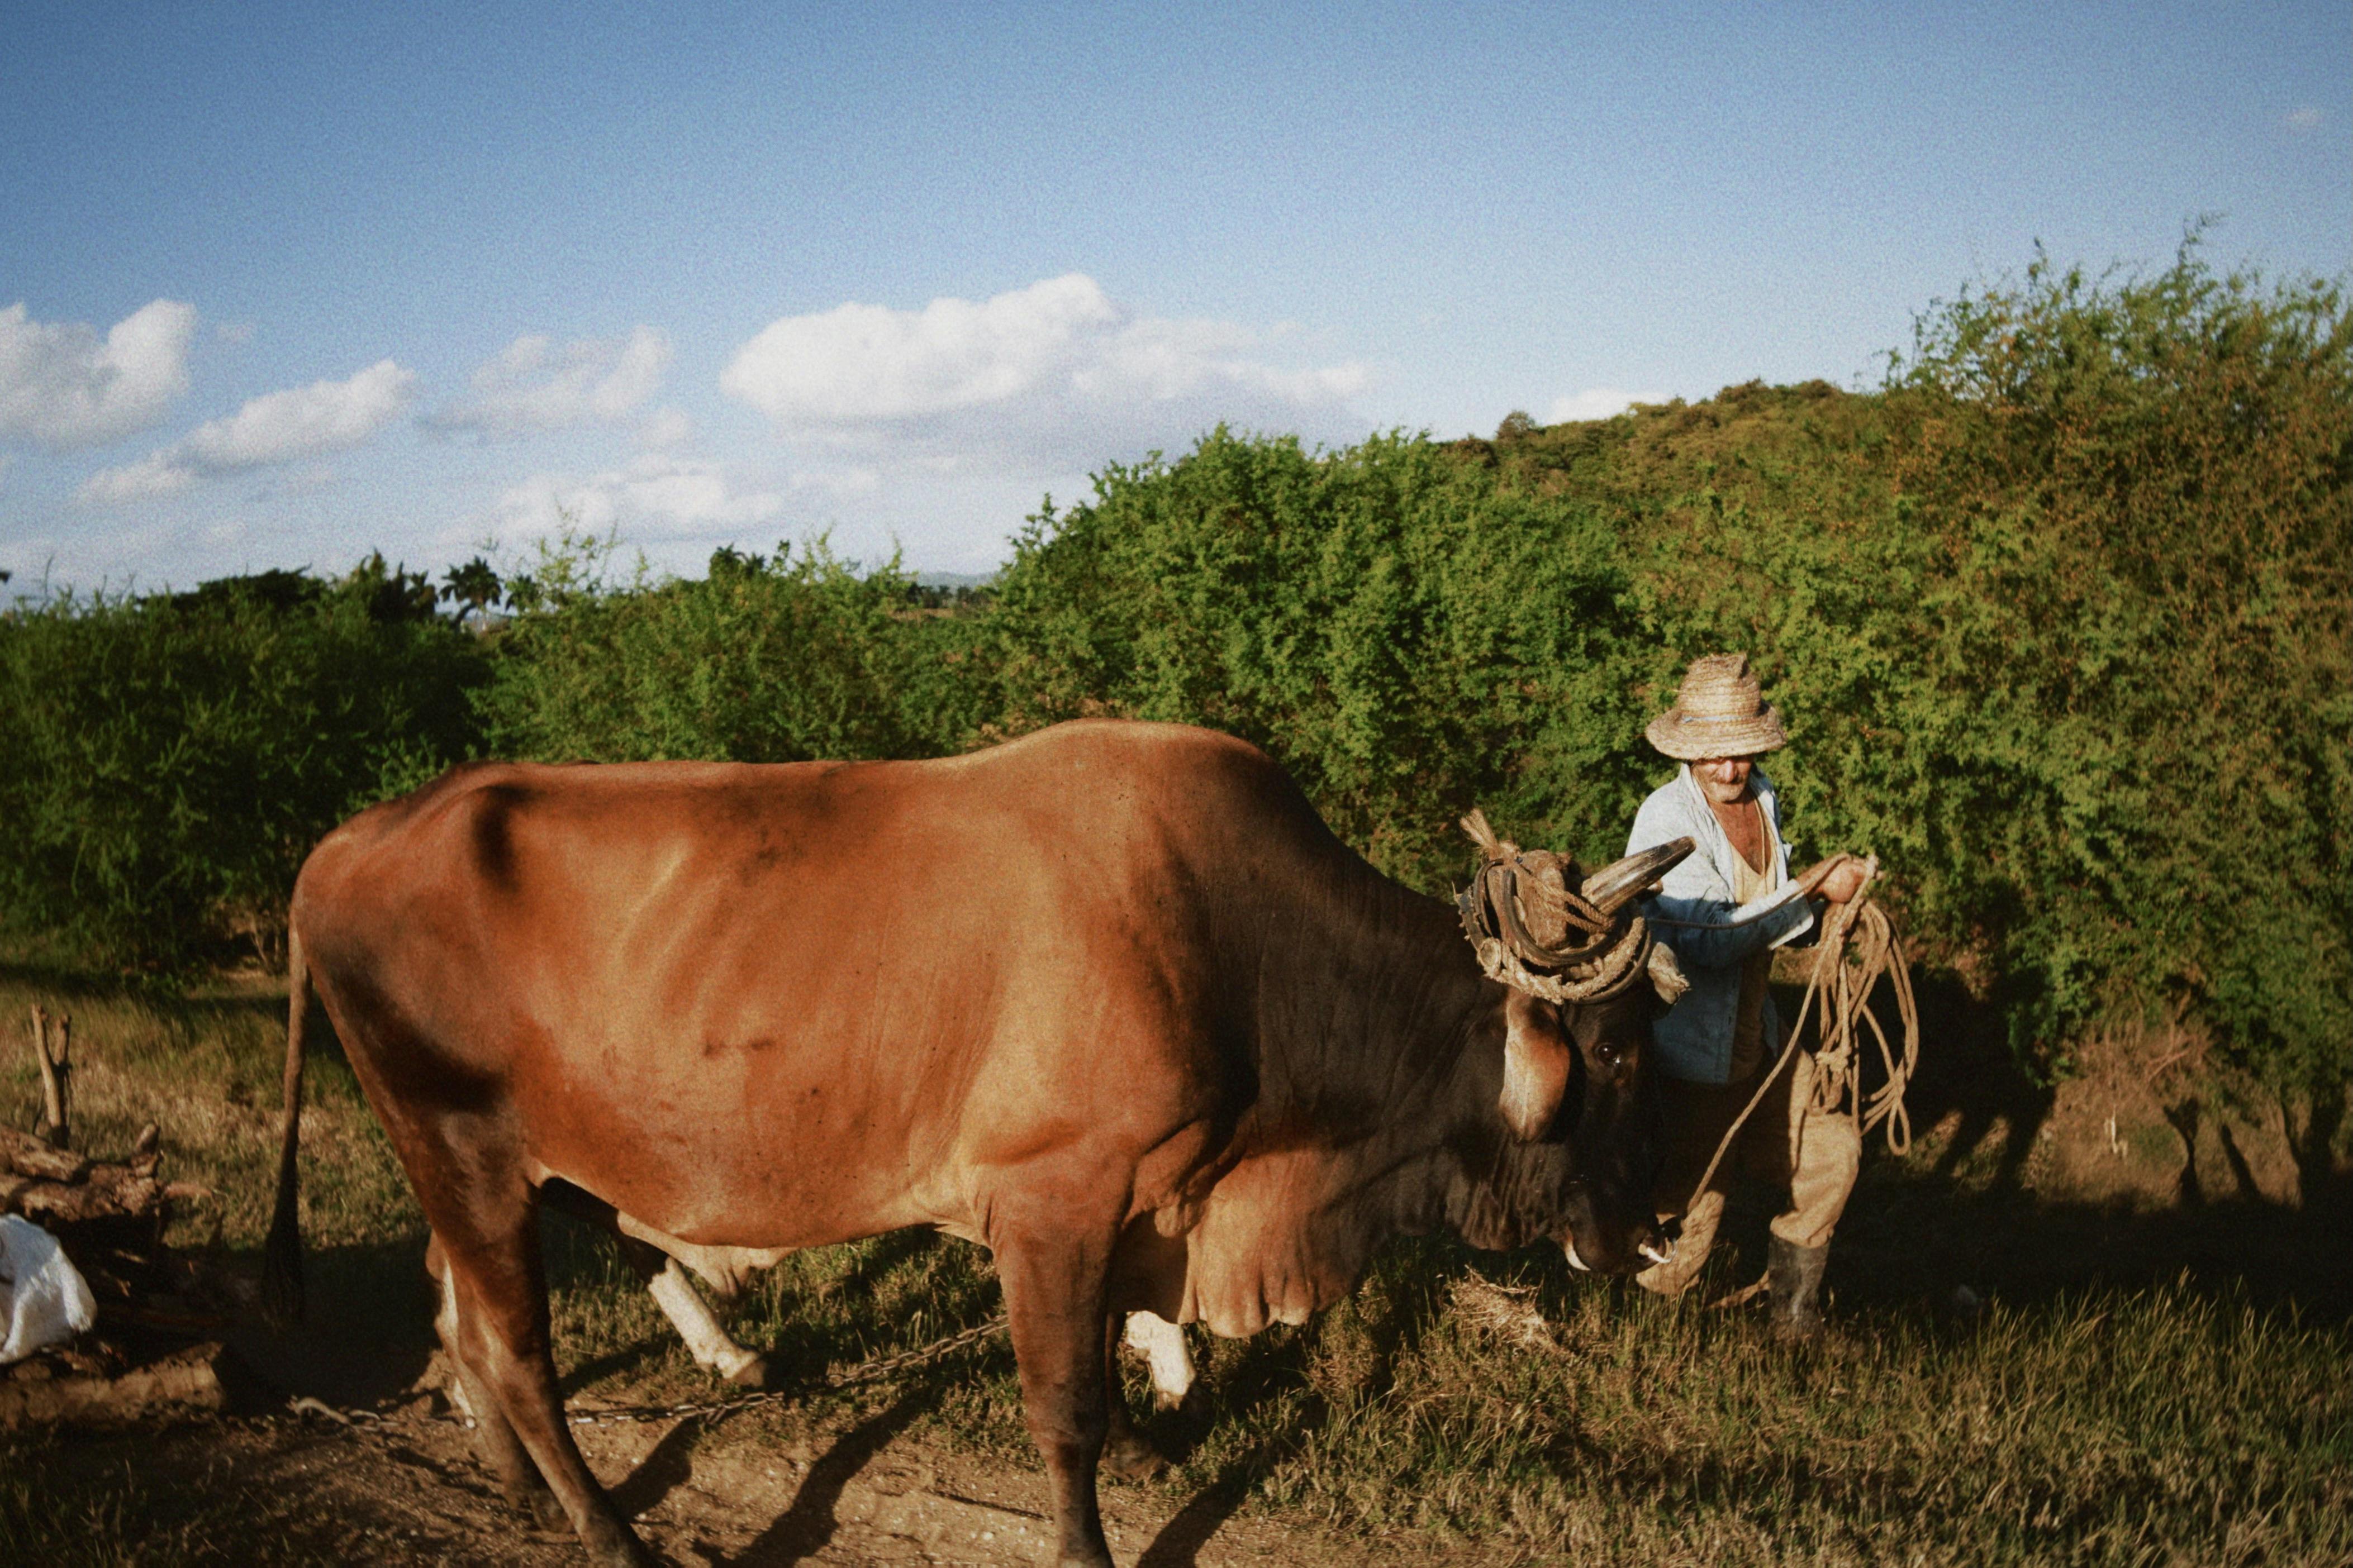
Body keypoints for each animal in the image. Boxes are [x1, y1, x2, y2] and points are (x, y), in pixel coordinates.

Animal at [264, 719, 1689, 1567]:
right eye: (1618, 1049)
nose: (1651, 1225)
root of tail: (343, 842)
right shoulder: (1051, 1195)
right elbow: (1064, 1405)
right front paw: (1090, 1539)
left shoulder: (1138, 1200)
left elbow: (1121, 1360)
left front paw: (1158, 1432)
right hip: (461, 1143)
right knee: (513, 1348)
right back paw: (608, 1533)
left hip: (458, 1163)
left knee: (456, 1316)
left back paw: (514, 1490)